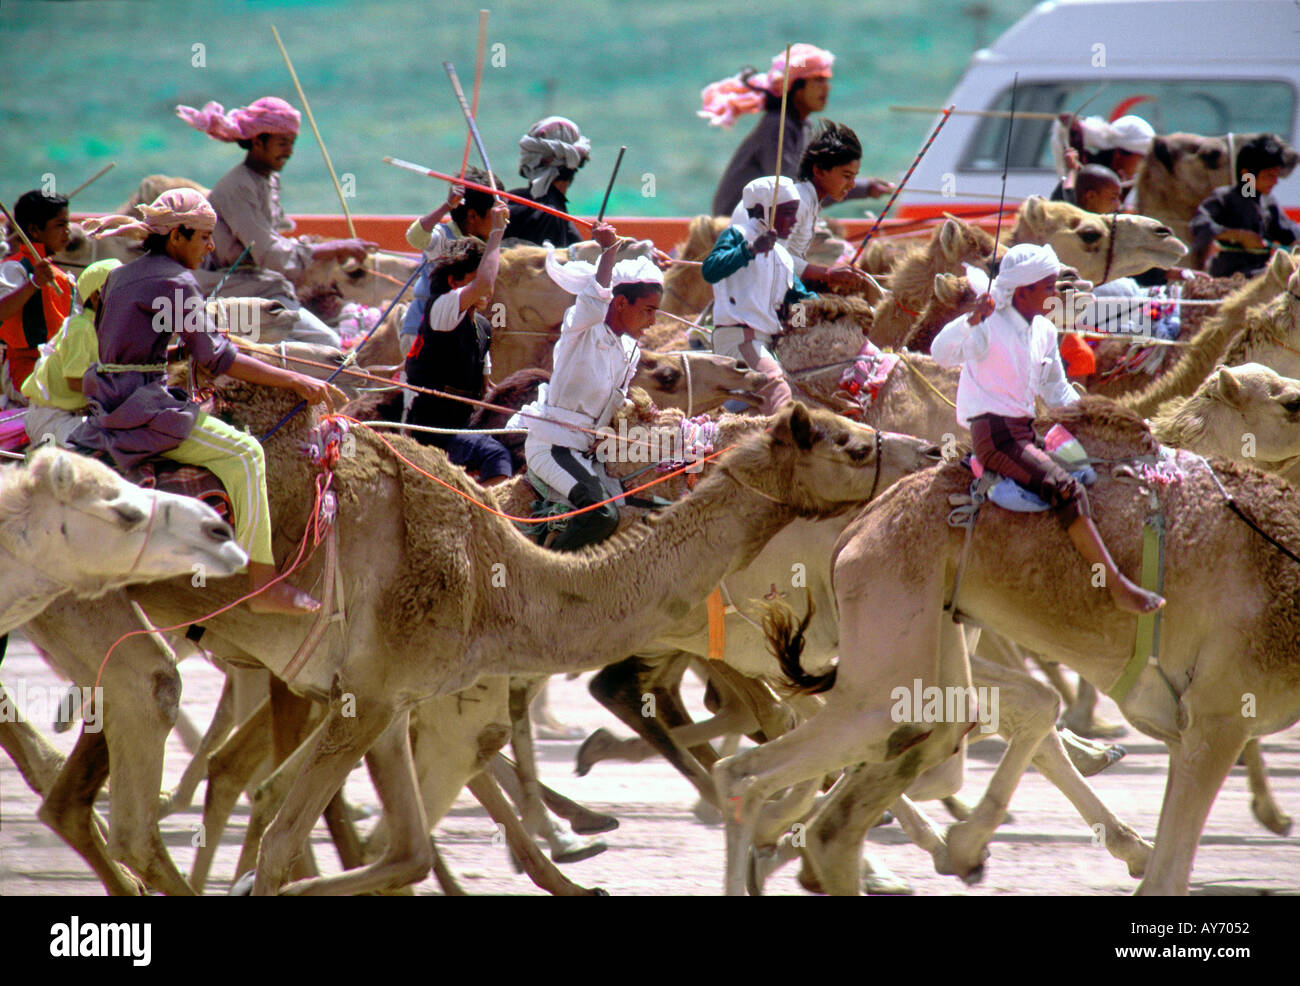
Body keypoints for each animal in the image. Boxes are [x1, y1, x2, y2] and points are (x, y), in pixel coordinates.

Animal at [717, 397, 1300, 895]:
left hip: (923, 656)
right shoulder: (1218, 719)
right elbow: (1165, 875)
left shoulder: (1196, 725)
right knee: (804, 794)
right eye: (1286, 405)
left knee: (781, 782)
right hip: (885, 680)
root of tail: (860, 526)